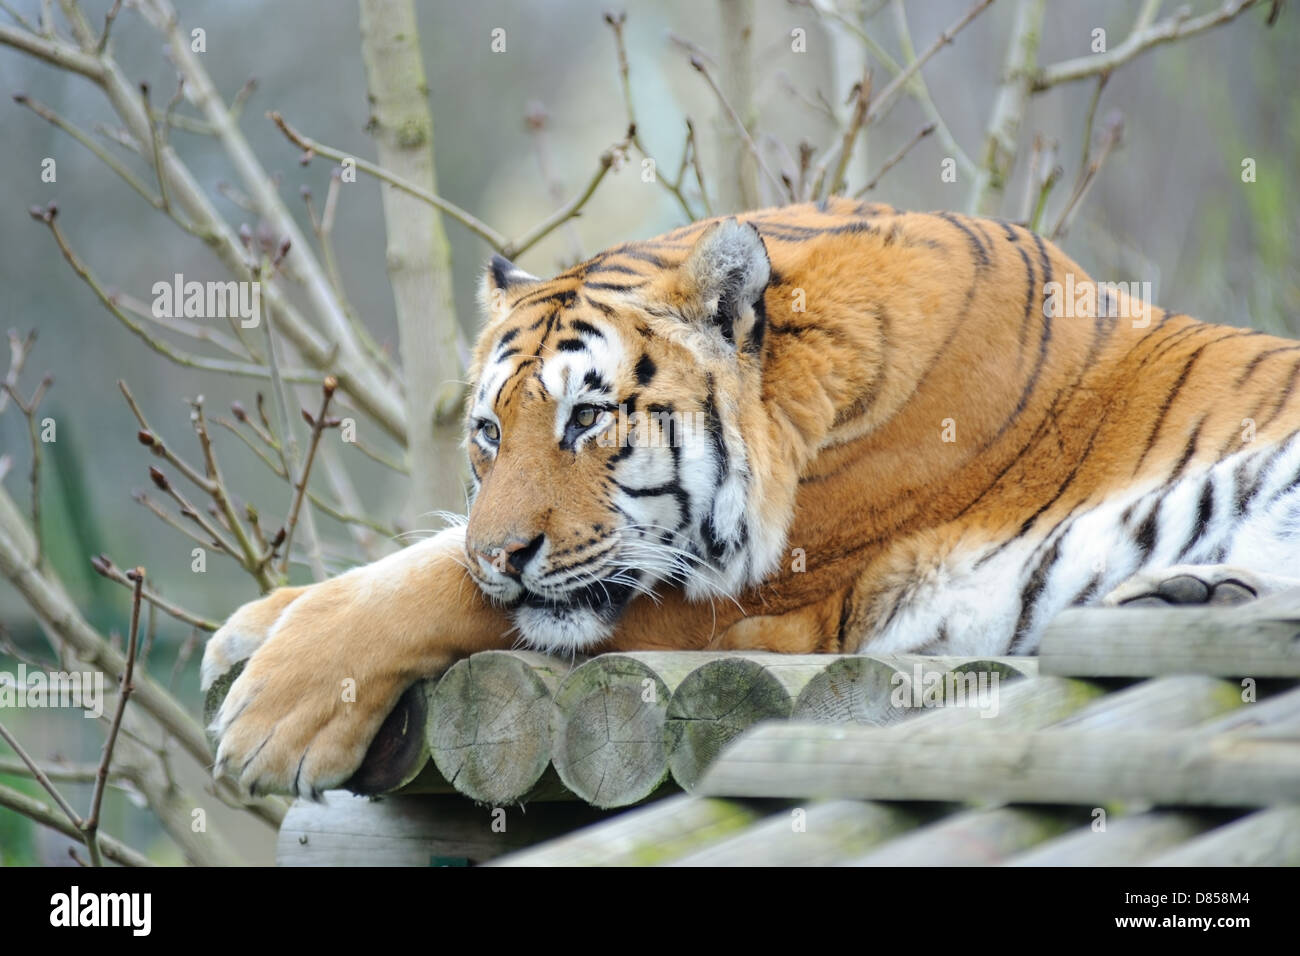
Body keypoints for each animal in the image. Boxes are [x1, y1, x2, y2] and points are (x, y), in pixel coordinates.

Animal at [203, 196, 1300, 798]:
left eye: (586, 420)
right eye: (487, 433)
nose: (502, 554)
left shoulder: (743, 600)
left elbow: (435, 585)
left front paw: (271, 713)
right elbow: (425, 551)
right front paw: (257, 623)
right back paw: (1182, 594)